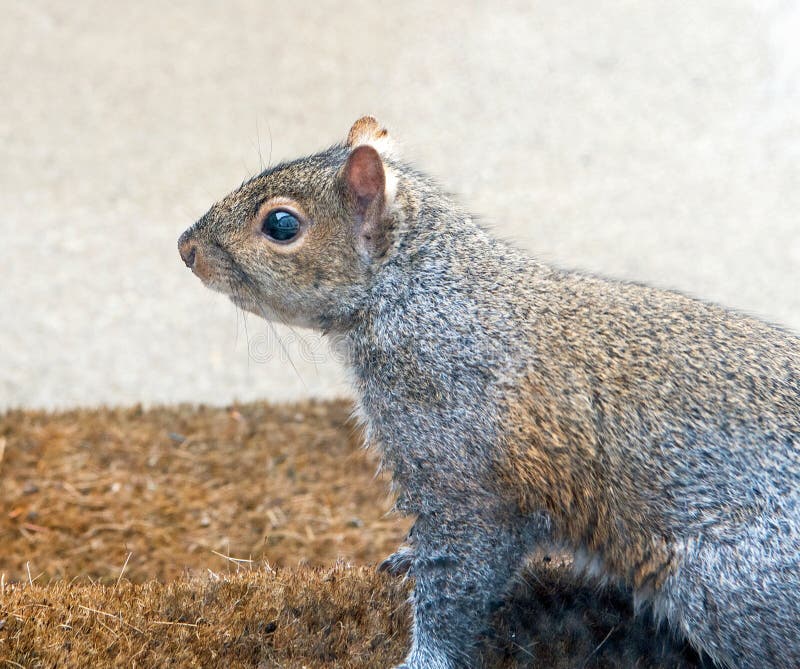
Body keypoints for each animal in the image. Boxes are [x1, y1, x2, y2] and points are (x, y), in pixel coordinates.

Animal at [178, 116, 800, 669]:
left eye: (281, 225)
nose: (186, 248)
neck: (421, 293)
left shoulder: (463, 472)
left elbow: (460, 575)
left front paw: (423, 660)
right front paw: (406, 556)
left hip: (731, 588)